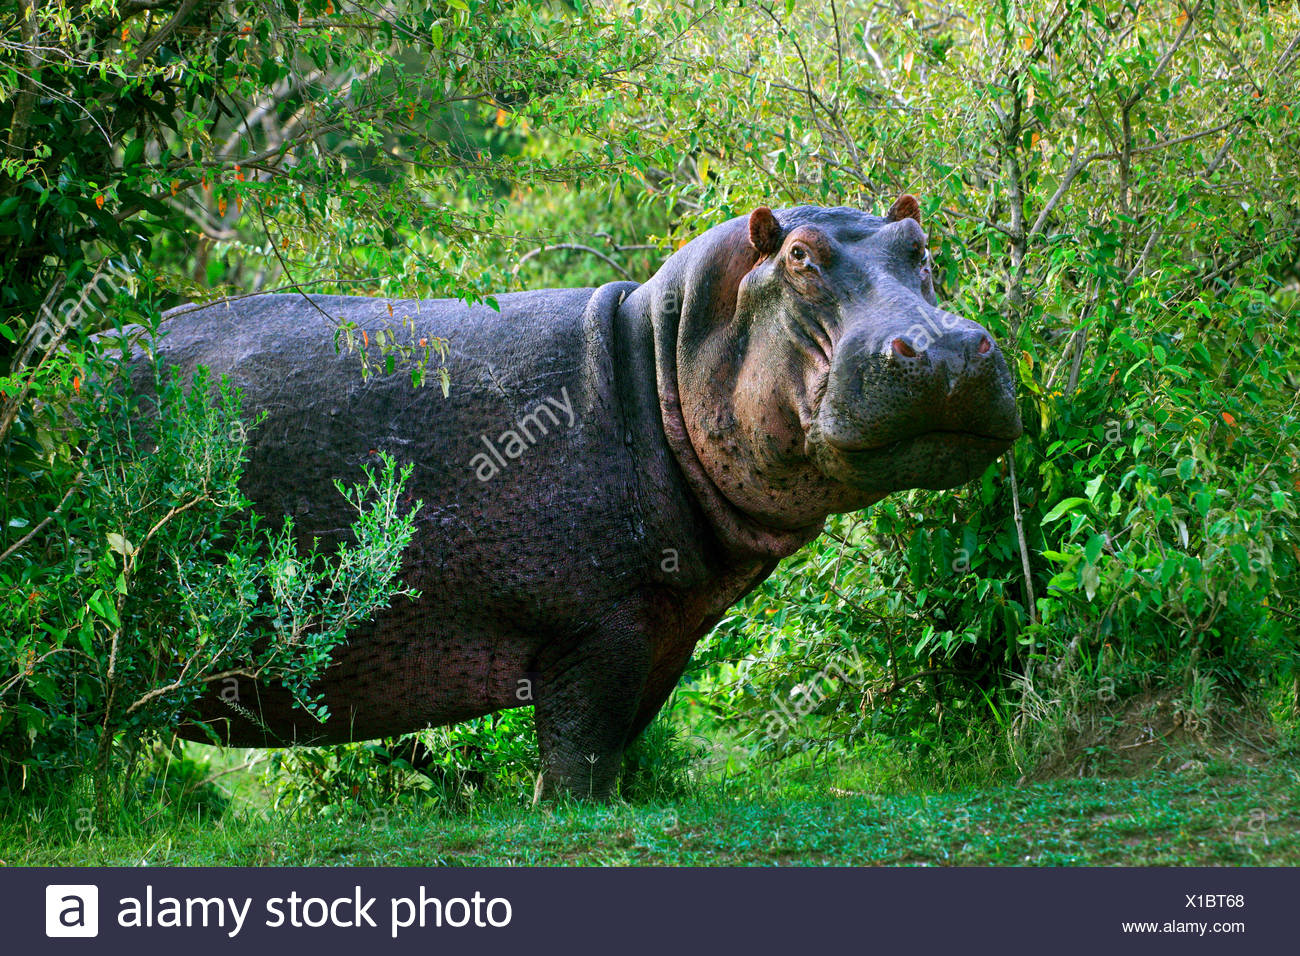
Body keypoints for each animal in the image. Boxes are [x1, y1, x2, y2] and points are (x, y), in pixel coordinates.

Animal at [158, 196, 1021, 799]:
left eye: (919, 248)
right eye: (801, 256)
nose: (947, 347)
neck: (662, 354)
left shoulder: (661, 628)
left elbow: (611, 753)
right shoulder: (596, 624)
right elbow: (581, 751)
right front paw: (565, 813)